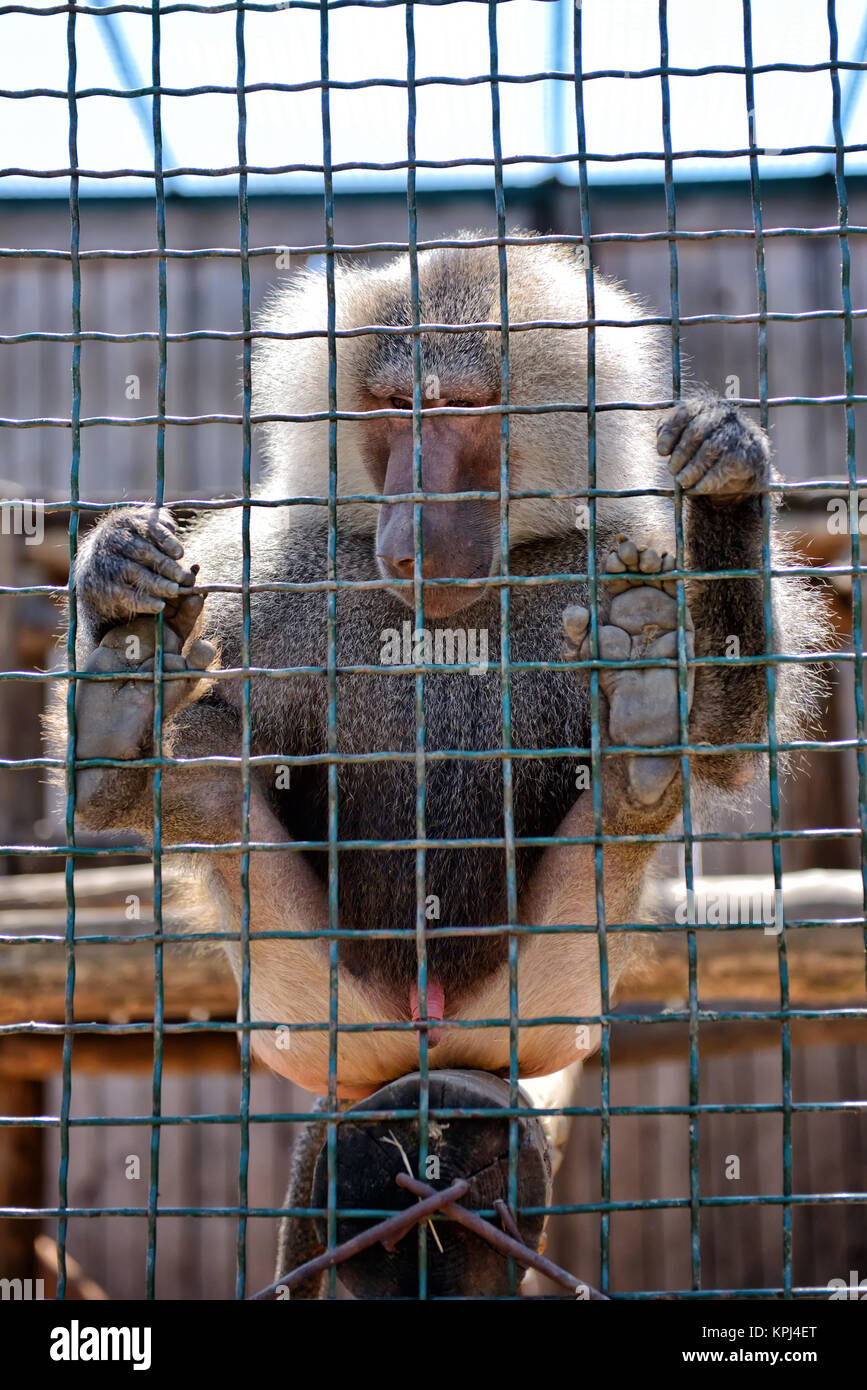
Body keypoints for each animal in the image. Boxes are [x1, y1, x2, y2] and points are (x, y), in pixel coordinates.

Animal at [54, 236, 830, 1110]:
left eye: (457, 406)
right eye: (395, 405)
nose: (414, 522)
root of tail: (419, 1039)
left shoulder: (617, 555)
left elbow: (722, 737)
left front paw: (724, 476)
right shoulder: (270, 573)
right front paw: (115, 570)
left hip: (547, 1004)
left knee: (630, 800)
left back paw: (640, 737)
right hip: (302, 1004)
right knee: (214, 772)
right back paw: (122, 729)